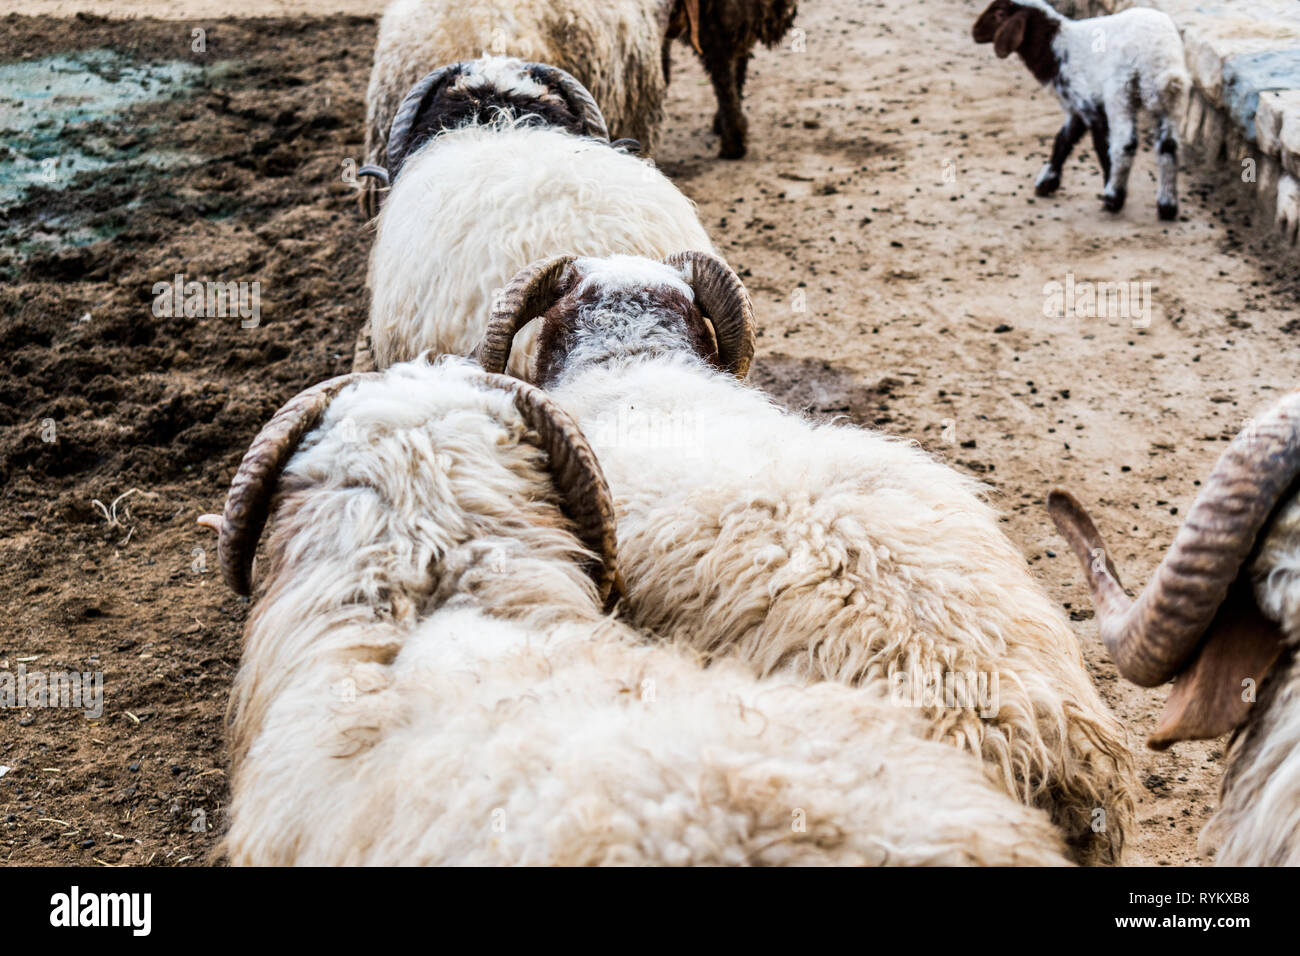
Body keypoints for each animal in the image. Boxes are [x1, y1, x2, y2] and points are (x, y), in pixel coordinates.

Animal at [972, 0, 1189, 220]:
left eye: (1000, 14)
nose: (975, 32)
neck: (1056, 47)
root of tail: (1160, 59)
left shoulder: (1088, 101)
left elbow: (1101, 146)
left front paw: (1109, 188)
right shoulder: (1077, 106)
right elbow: (1063, 139)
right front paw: (1047, 181)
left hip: (1121, 91)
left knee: (1125, 144)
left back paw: (1113, 196)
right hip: (1171, 101)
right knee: (1168, 146)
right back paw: (1167, 205)